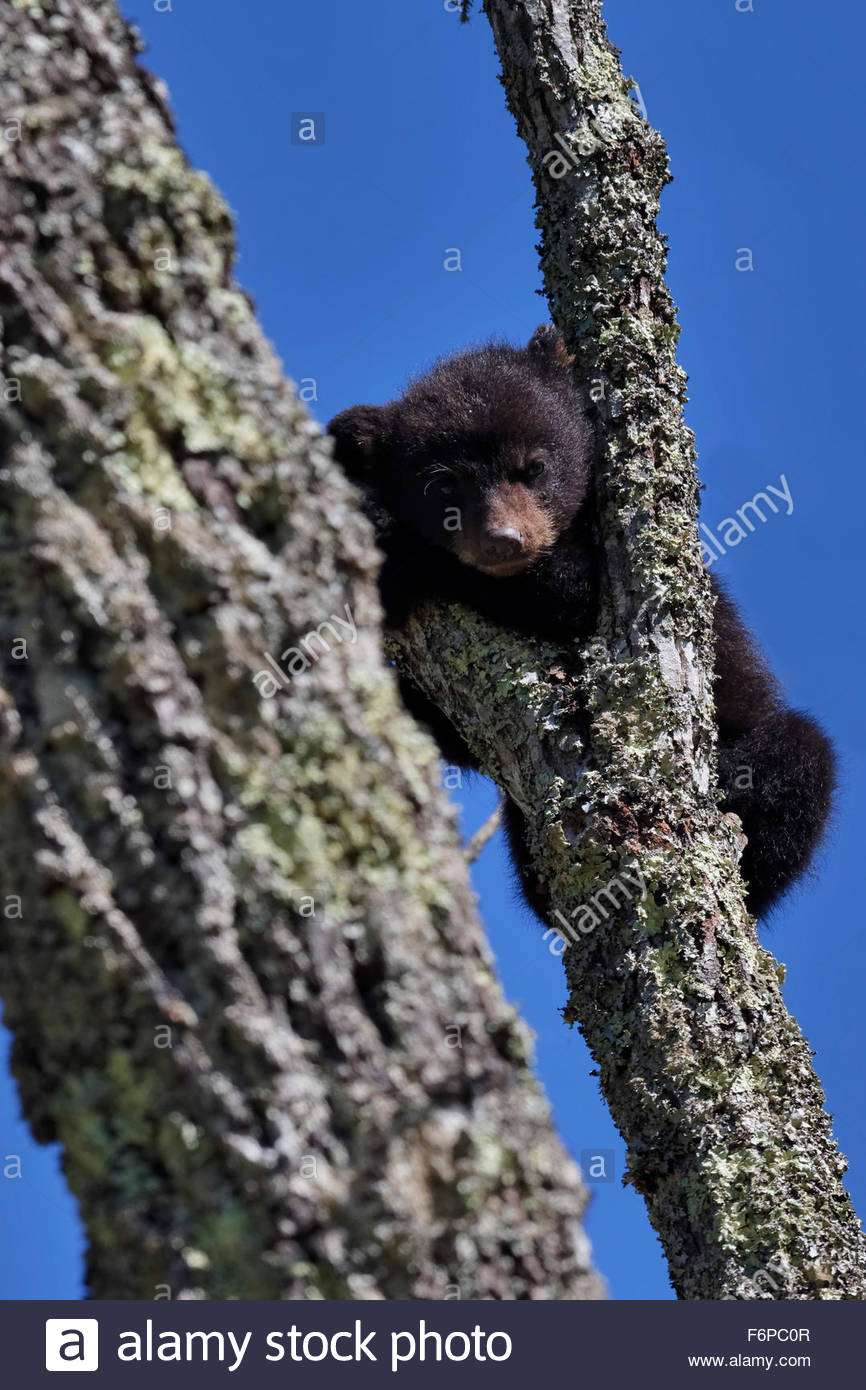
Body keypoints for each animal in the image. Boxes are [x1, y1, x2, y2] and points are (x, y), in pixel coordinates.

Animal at [328, 325, 836, 922]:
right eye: (444, 485)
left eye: (534, 467)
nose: (503, 540)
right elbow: (445, 731)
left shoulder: (613, 559)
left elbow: (572, 587)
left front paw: (393, 538)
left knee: (802, 758)